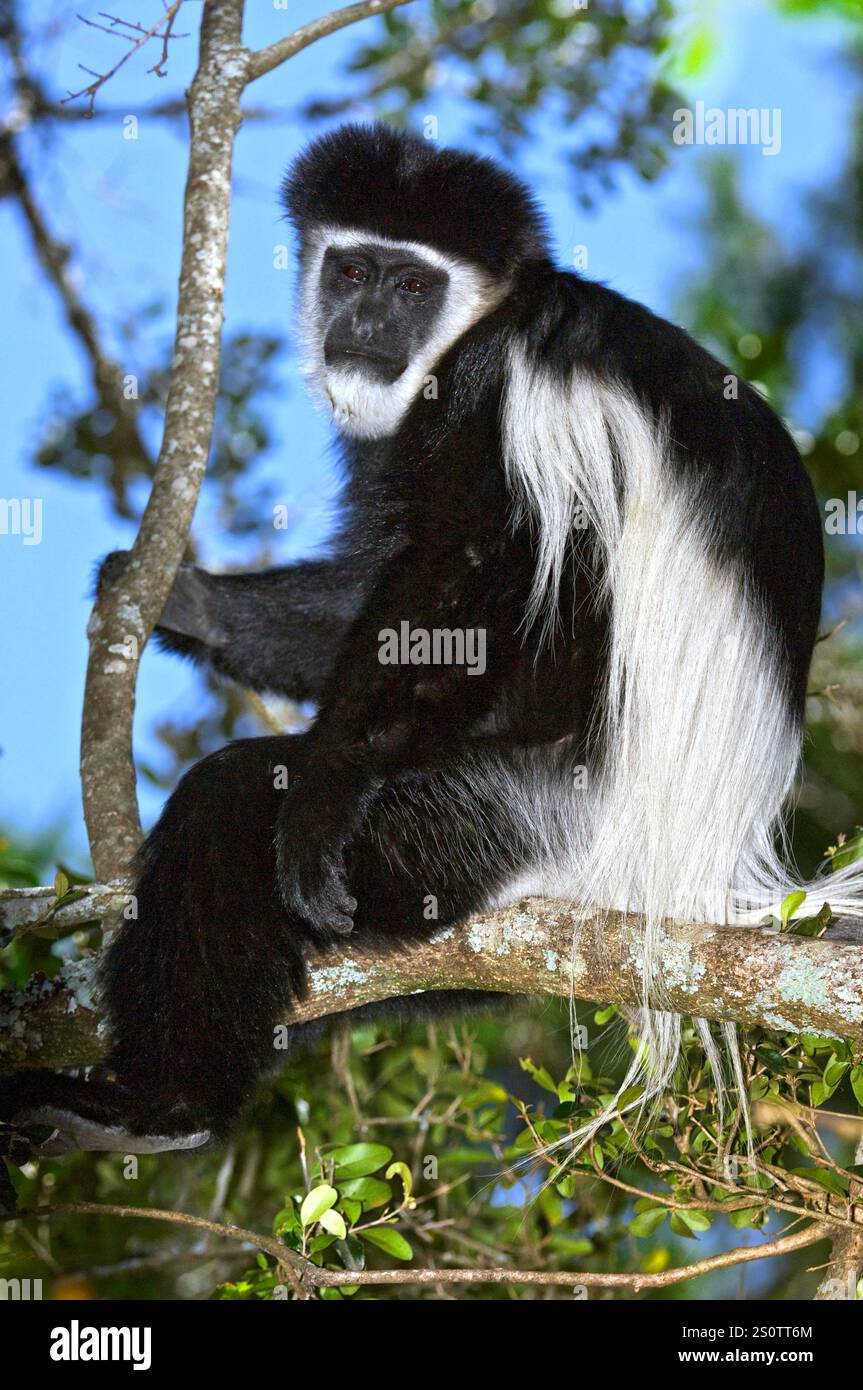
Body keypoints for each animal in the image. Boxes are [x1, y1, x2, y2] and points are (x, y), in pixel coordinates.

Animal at [3, 122, 860, 1155]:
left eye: (414, 286)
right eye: (352, 270)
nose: (367, 320)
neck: (485, 325)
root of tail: (696, 875)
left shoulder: (502, 394)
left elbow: (456, 584)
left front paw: (319, 800)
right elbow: (368, 597)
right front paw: (179, 600)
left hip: (508, 818)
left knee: (239, 799)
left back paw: (164, 1109)